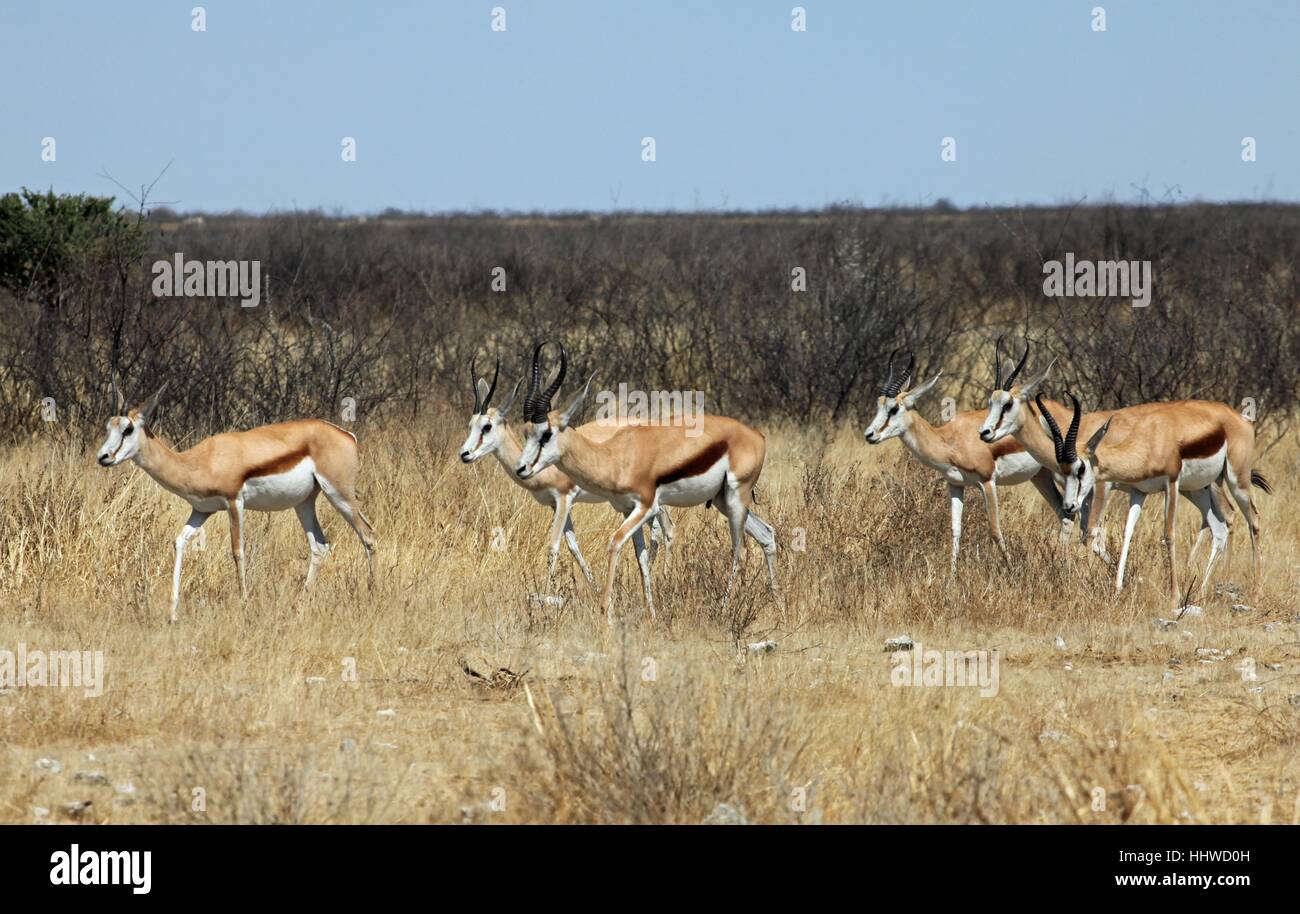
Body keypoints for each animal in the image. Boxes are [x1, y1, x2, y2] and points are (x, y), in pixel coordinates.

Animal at [96, 377, 377, 622]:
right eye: (108, 426)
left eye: (128, 428)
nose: (103, 457)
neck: (197, 461)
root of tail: (346, 435)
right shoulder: (201, 510)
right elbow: (179, 542)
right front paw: (173, 615)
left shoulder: (234, 502)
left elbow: (237, 551)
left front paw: (244, 605)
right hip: (304, 503)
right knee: (319, 546)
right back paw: (299, 605)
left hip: (339, 494)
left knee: (368, 535)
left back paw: (371, 595)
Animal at [458, 358, 673, 585]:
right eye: (470, 425)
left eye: (487, 426)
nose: (464, 454)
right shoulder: (556, 505)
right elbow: (573, 546)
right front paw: (593, 585)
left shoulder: (564, 498)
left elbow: (553, 547)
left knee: (666, 529)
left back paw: (663, 575)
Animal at [513, 343, 778, 622]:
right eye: (526, 432)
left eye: (547, 434)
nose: (521, 469)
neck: (615, 456)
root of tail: (756, 435)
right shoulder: (627, 509)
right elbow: (640, 558)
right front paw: (651, 614)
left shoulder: (647, 507)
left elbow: (615, 543)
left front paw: (606, 612)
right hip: (722, 500)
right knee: (766, 534)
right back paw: (778, 603)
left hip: (737, 497)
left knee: (739, 550)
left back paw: (726, 608)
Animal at [862, 350, 1074, 574]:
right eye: (878, 404)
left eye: (894, 408)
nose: (869, 435)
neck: (950, 440)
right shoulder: (955, 484)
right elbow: (955, 530)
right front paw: (951, 576)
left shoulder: (987, 481)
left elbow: (995, 529)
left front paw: (1012, 570)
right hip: (1041, 476)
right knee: (1064, 514)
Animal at [1038, 392, 1269, 608]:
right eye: (1061, 469)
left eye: (1081, 468)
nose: (1069, 506)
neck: (1151, 438)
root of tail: (1241, 418)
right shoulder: (1139, 491)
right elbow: (1127, 532)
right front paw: (1117, 590)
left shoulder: (1171, 484)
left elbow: (1169, 534)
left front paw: (1174, 598)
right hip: (1201, 488)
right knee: (1221, 524)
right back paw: (1205, 591)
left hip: (1237, 480)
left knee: (1254, 519)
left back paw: (1255, 594)